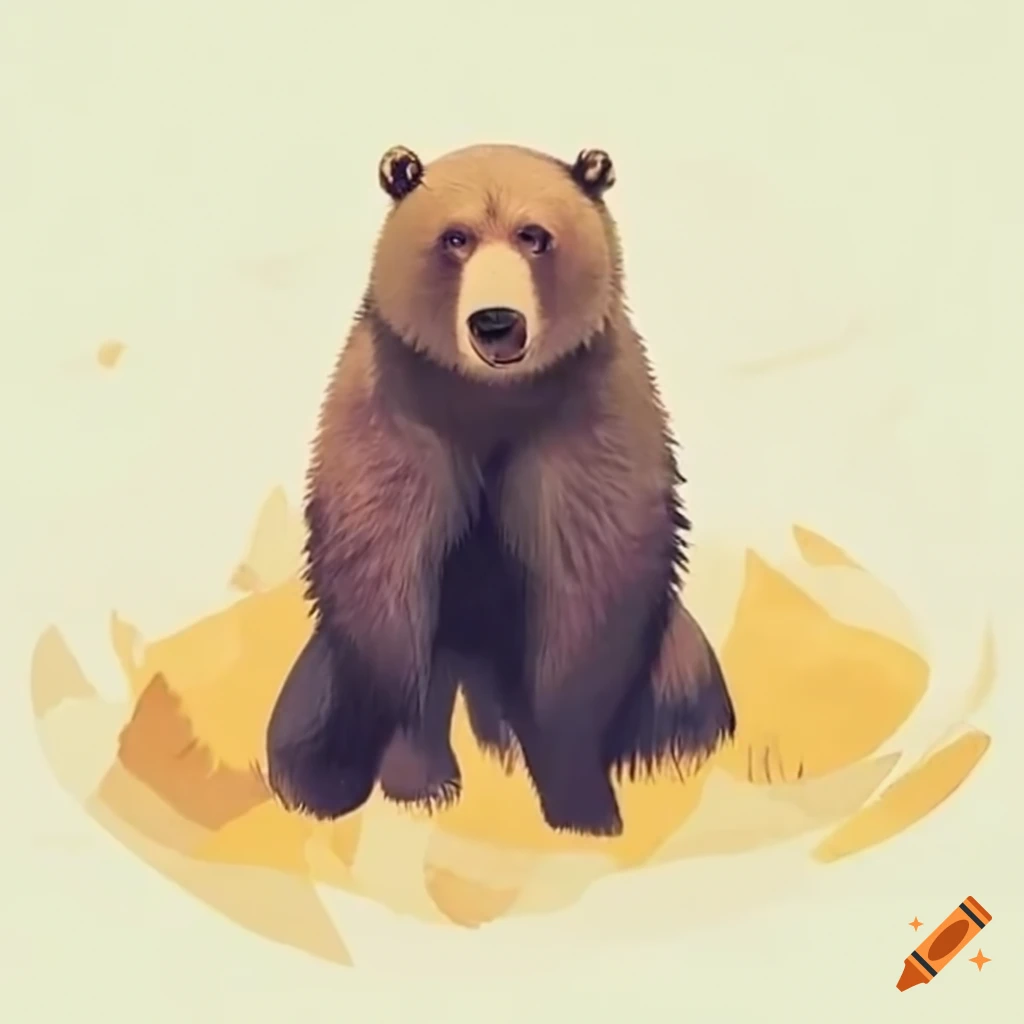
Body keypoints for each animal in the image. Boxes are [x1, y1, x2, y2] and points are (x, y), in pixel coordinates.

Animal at [265, 142, 736, 837]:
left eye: (534, 235)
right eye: (455, 237)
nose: (495, 323)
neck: (493, 399)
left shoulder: (583, 411)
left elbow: (587, 582)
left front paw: (580, 802)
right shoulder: (400, 406)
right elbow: (386, 578)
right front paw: (418, 780)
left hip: (674, 659)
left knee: (688, 695)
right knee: (307, 725)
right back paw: (321, 782)